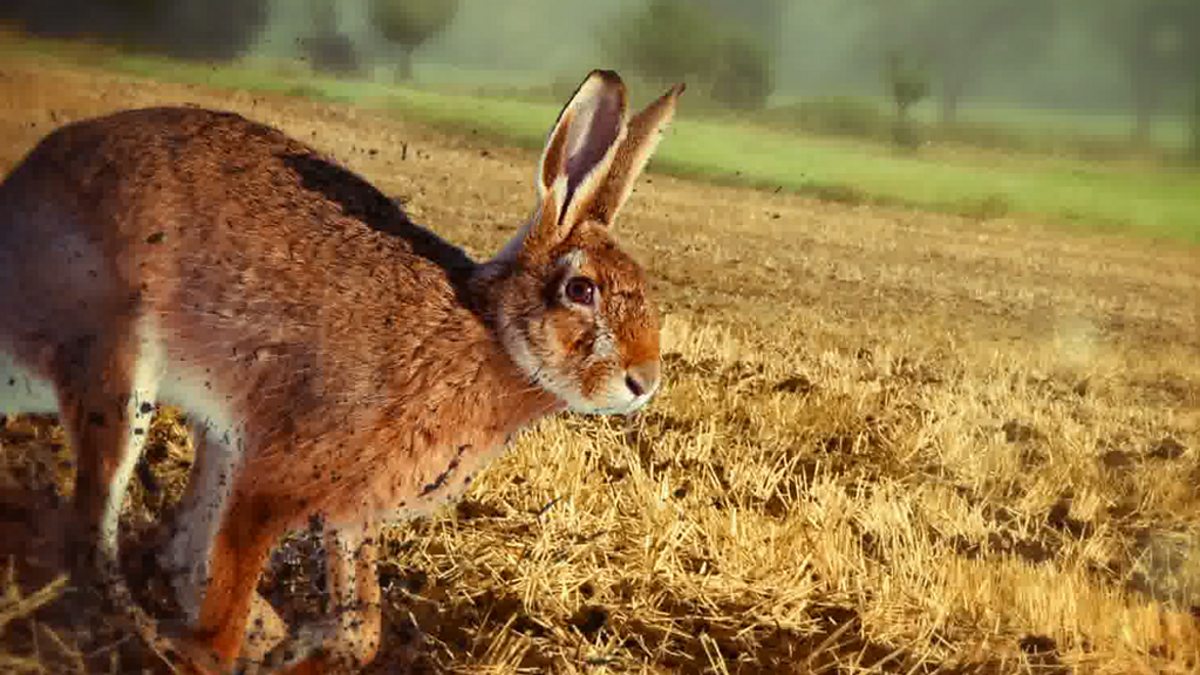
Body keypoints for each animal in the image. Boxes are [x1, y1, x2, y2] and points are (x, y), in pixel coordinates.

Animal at [0, 69, 684, 673]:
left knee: (174, 551)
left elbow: (363, 629)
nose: (643, 382)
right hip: (117, 368)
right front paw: (245, 651)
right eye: (580, 289)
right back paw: (157, 643)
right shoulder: (283, 476)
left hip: (212, 432)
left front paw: (301, 650)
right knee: (95, 545)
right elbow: (231, 594)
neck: (488, 332)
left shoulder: (351, 513)